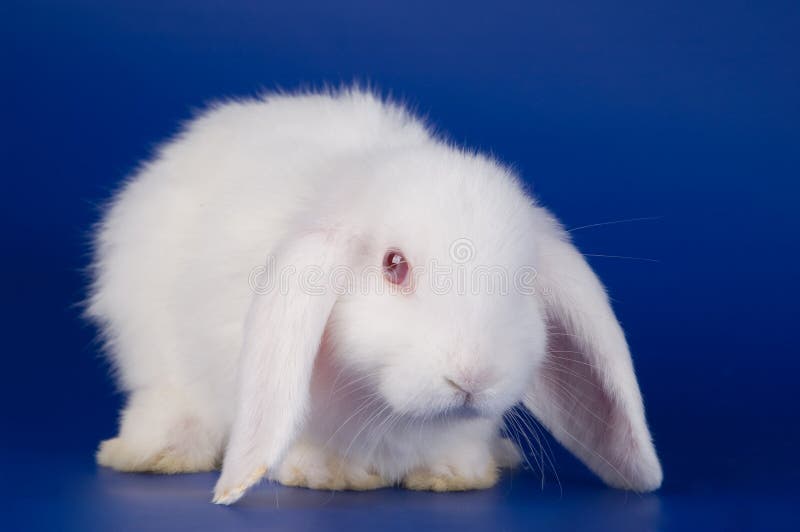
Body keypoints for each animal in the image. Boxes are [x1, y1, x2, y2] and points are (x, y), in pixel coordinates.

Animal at [87, 88, 662, 505]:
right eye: (394, 265)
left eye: (523, 280)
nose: (472, 379)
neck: (391, 415)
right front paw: (326, 475)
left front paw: (452, 474)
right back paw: (153, 453)